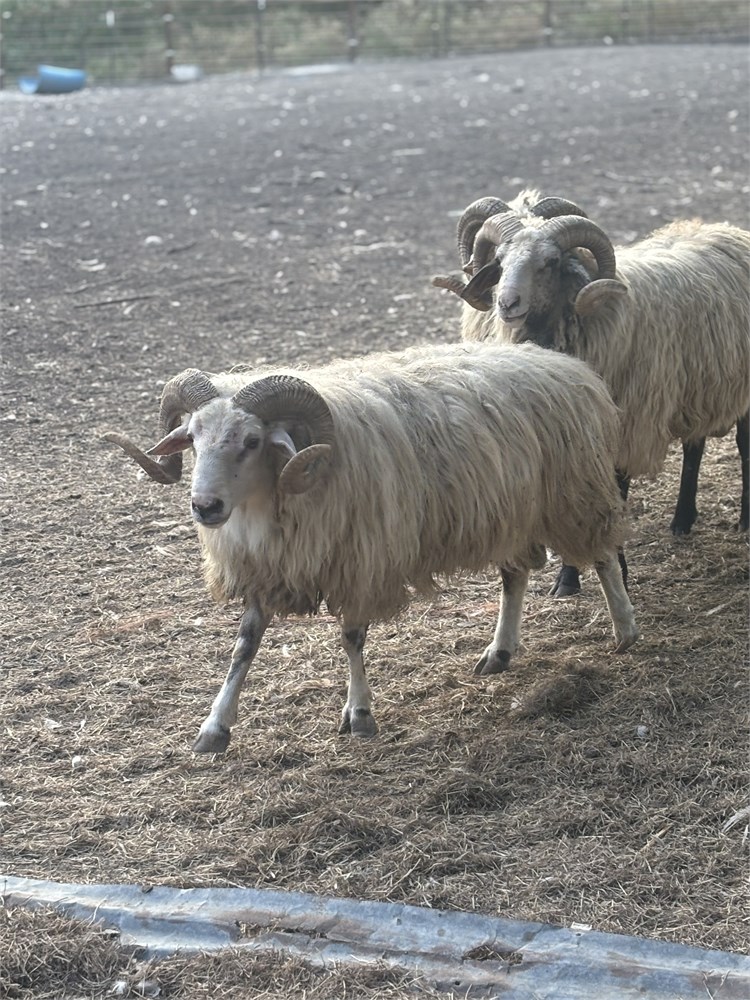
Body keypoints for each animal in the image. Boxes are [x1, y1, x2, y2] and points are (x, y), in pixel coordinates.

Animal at [103, 342, 638, 752]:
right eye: (192, 438)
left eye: (252, 441)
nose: (205, 507)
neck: (268, 501)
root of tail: (564, 364)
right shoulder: (270, 568)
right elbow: (244, 645)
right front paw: (214, 727)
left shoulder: (361, 559)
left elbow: (352, 638)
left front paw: (359, 714)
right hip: (510, 511)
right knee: (515, 575)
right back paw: (499, 652)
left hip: (575, 493)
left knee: (604, 555)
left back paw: (625, 630)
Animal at [433, 199, 750, 596]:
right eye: (500, 260)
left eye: (550, 262)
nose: (506, 304)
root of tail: (724, 229)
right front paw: (568, 579)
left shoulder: (626, 422)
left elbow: (615, 492)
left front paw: (611, 573)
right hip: (697, 386)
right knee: (695, 444)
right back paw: (682, 519)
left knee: (743, 446)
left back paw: (744, 519)